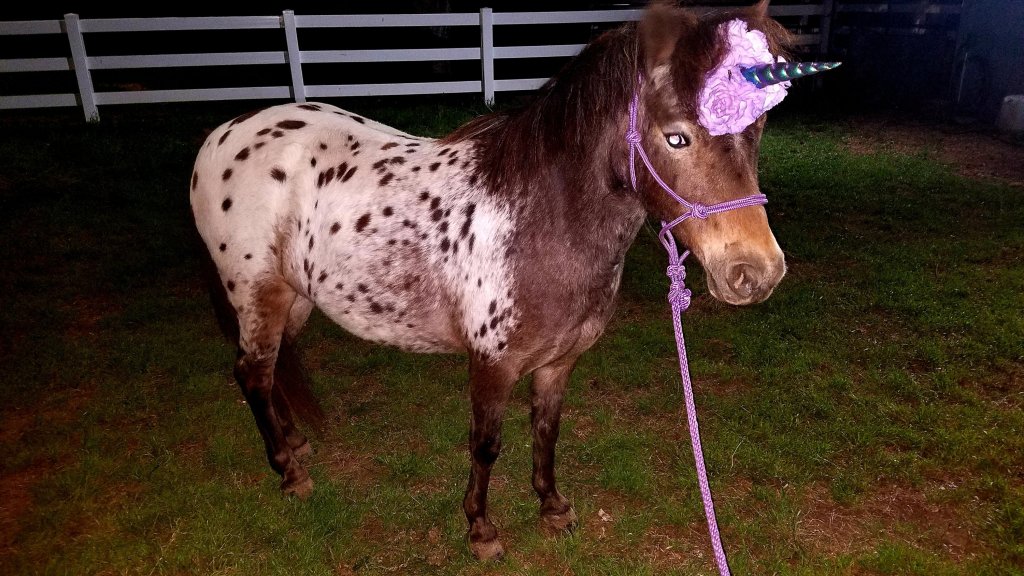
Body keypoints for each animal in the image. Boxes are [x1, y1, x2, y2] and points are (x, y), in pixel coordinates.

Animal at [190, 0, 834, 560]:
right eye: (677, 136)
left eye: (757, 132)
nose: (756, 272)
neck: (538, 221)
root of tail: (224, 133)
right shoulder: (491, 367)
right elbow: (486, 444)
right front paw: (481, 530)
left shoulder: (559, 362)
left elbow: (546, 431)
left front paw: (552, 508)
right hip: (257, 295)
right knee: (251, 373)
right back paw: (290, 472)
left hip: (294, 298)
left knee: (275, 365)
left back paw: (295, 444)